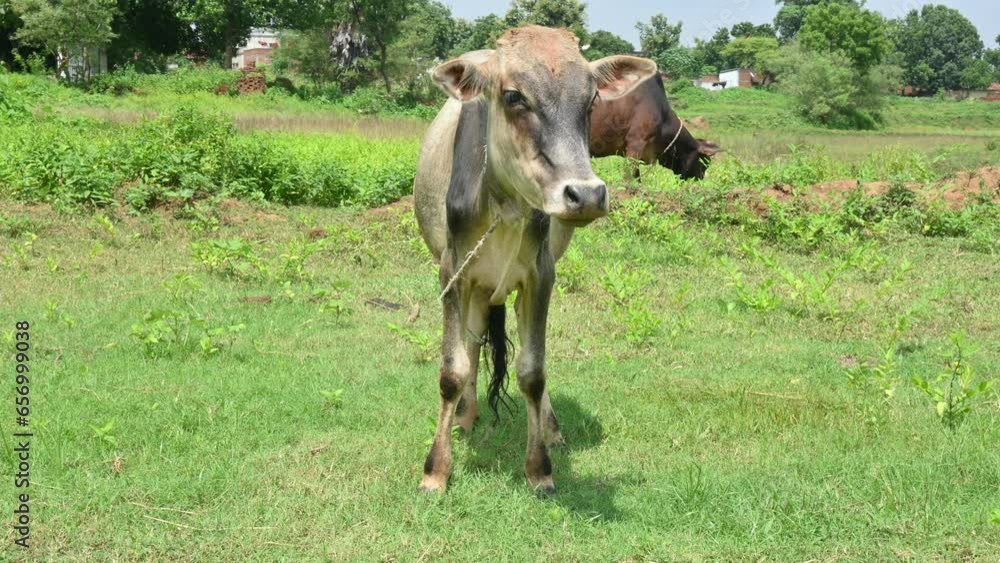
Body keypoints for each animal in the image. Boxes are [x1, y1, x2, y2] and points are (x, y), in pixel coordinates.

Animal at [413, 25, 657, 494]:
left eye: (592, 100)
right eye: (513, 96)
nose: (586, 194)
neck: (505, 203)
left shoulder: (541, 275)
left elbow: (533, 371)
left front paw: (540, 467)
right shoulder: (453, 272)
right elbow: (453, 371)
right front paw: (436, 469)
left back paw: (551, 428)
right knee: (473, 343)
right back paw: (467, 417)